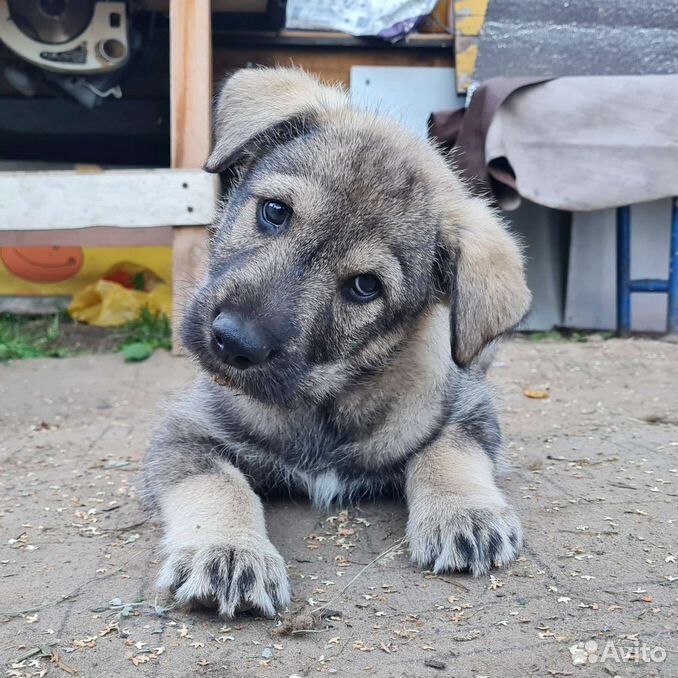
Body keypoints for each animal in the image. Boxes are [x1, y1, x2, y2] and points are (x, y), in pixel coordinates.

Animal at [142, 66, 532, 620]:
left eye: (365, 286)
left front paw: (465, 510)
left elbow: (448, 452)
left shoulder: (470, 411)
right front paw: (228, 550)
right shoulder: (186, 431)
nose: (234, 342)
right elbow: (218, 484)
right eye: (274, 211)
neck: (324, 402)